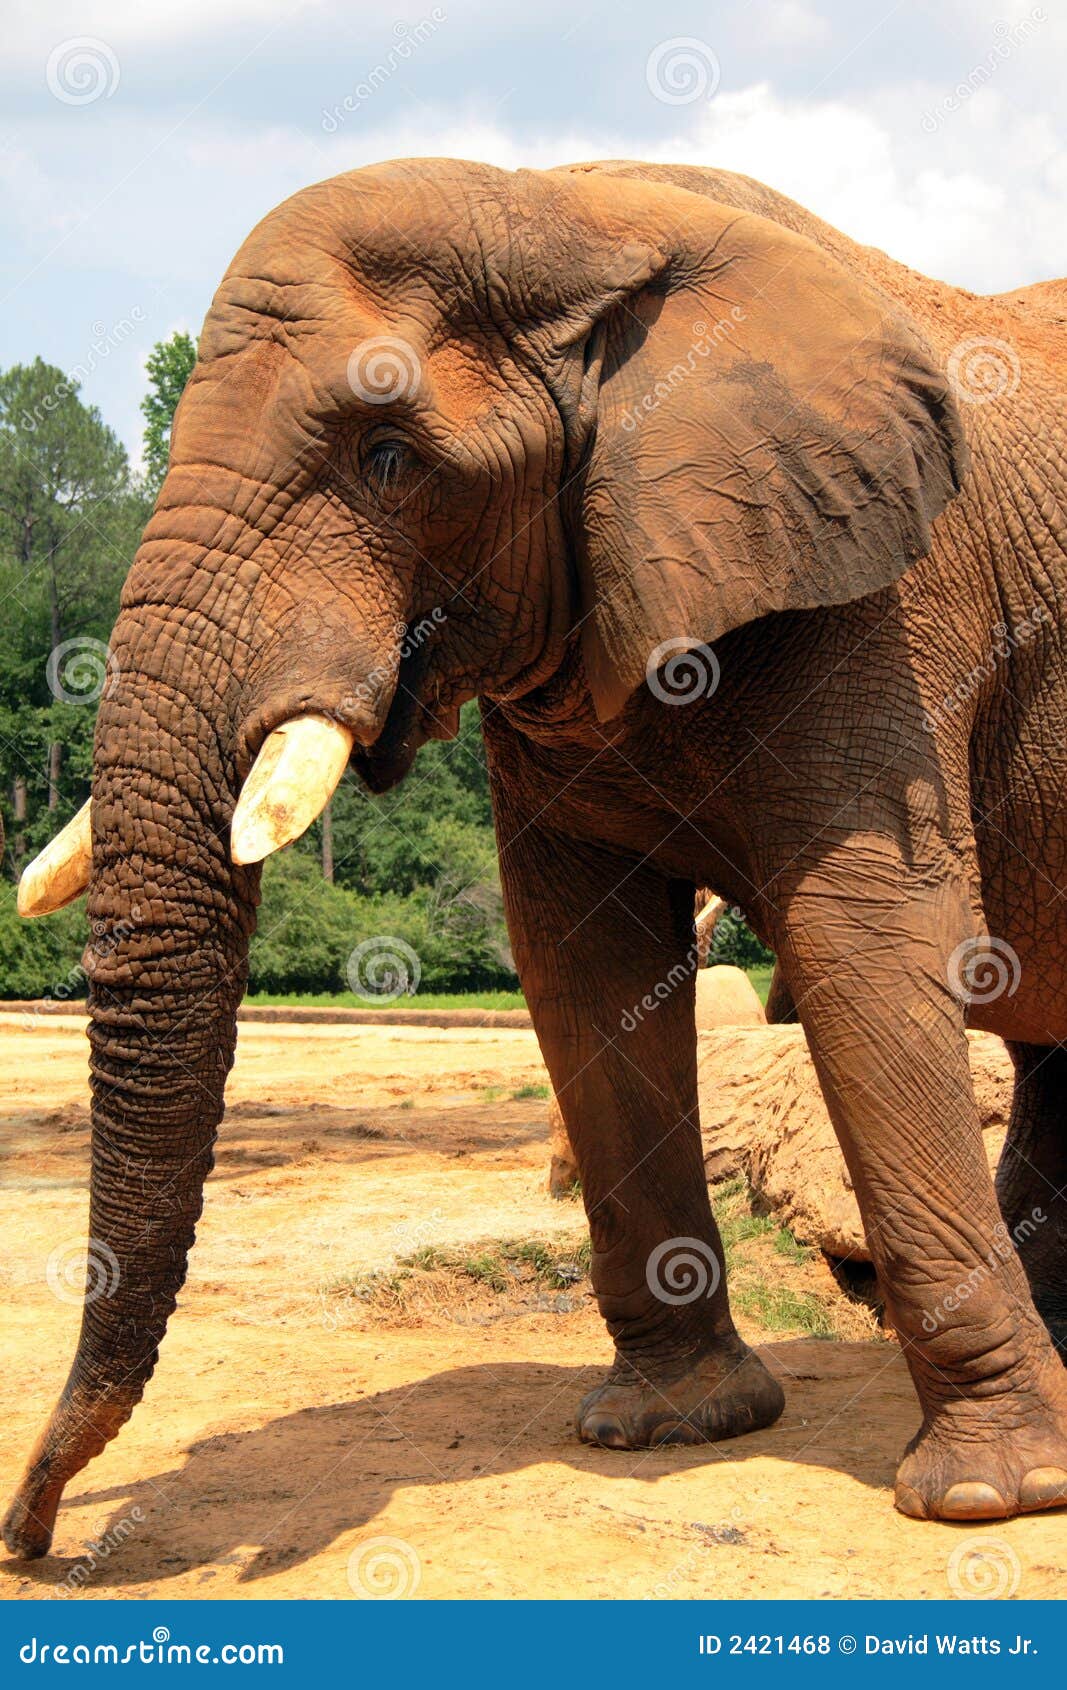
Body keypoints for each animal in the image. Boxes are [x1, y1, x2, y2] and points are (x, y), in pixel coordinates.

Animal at [6, 155, 1067, 1557]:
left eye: (388, 459)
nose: (38, 1537)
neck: (567, 212)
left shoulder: (880, 598)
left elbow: (864, 940)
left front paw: (992, 1496)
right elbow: (583, 965)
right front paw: (668, 1425)